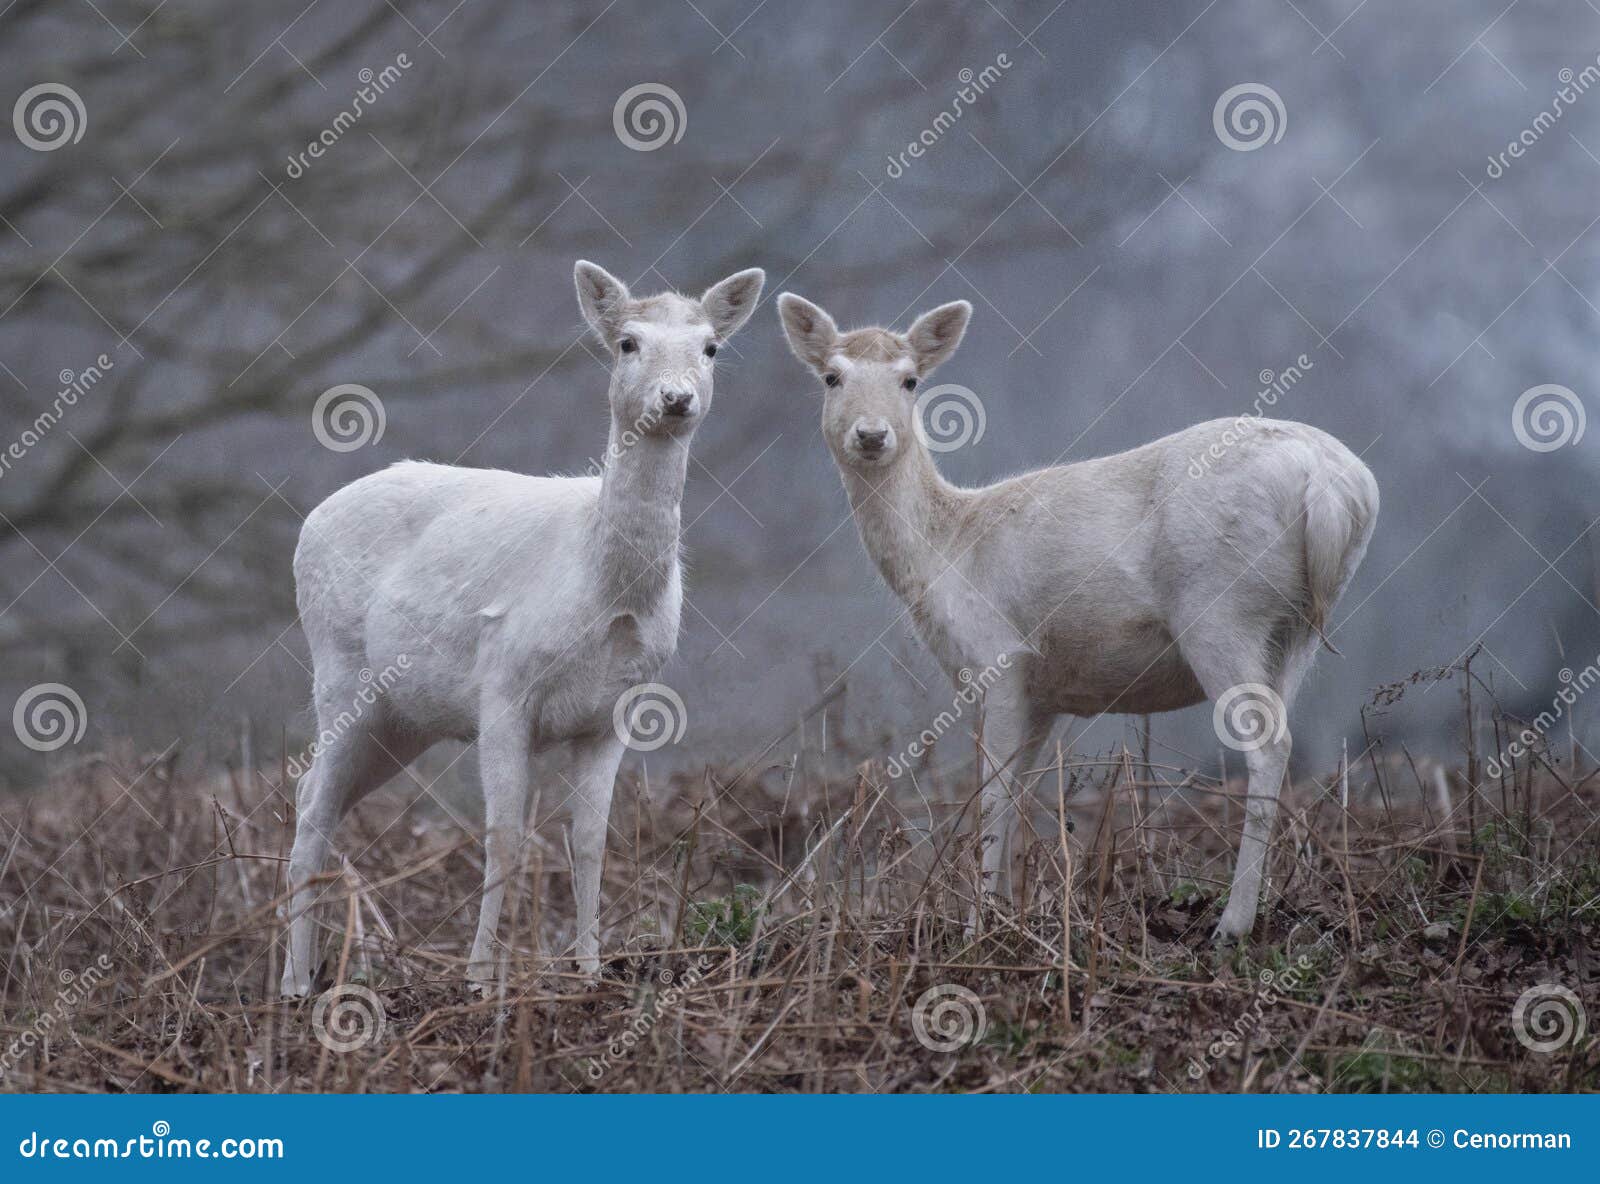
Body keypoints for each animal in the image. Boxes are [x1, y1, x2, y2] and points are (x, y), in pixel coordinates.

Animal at [280, 260, 765, 996]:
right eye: (627, 342)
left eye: (710, 346)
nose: (676, 397)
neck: (606, 589)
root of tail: (308, 525)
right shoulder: (505, 685)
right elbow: (505, 835)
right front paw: (482, 978)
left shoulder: (613, 712)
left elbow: (589, 839)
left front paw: (590, 968)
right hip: (338, 668)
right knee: (310, 805)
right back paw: (294, 986)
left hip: (402, 721)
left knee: (319, 794)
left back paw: (306, 971)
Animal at [776, 291, 1378, 941]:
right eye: (832, 376)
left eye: (910, 379)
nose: (871, 434)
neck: (947, 551)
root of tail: (1333, 486)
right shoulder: (1046, 695)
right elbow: (1020, 795)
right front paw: (1008, 912)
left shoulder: (999, 659)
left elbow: (992, 793)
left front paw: (978, 925)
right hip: (1297, 630)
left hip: (1220, 611)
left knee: (1268, 743)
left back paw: (1230, 925)